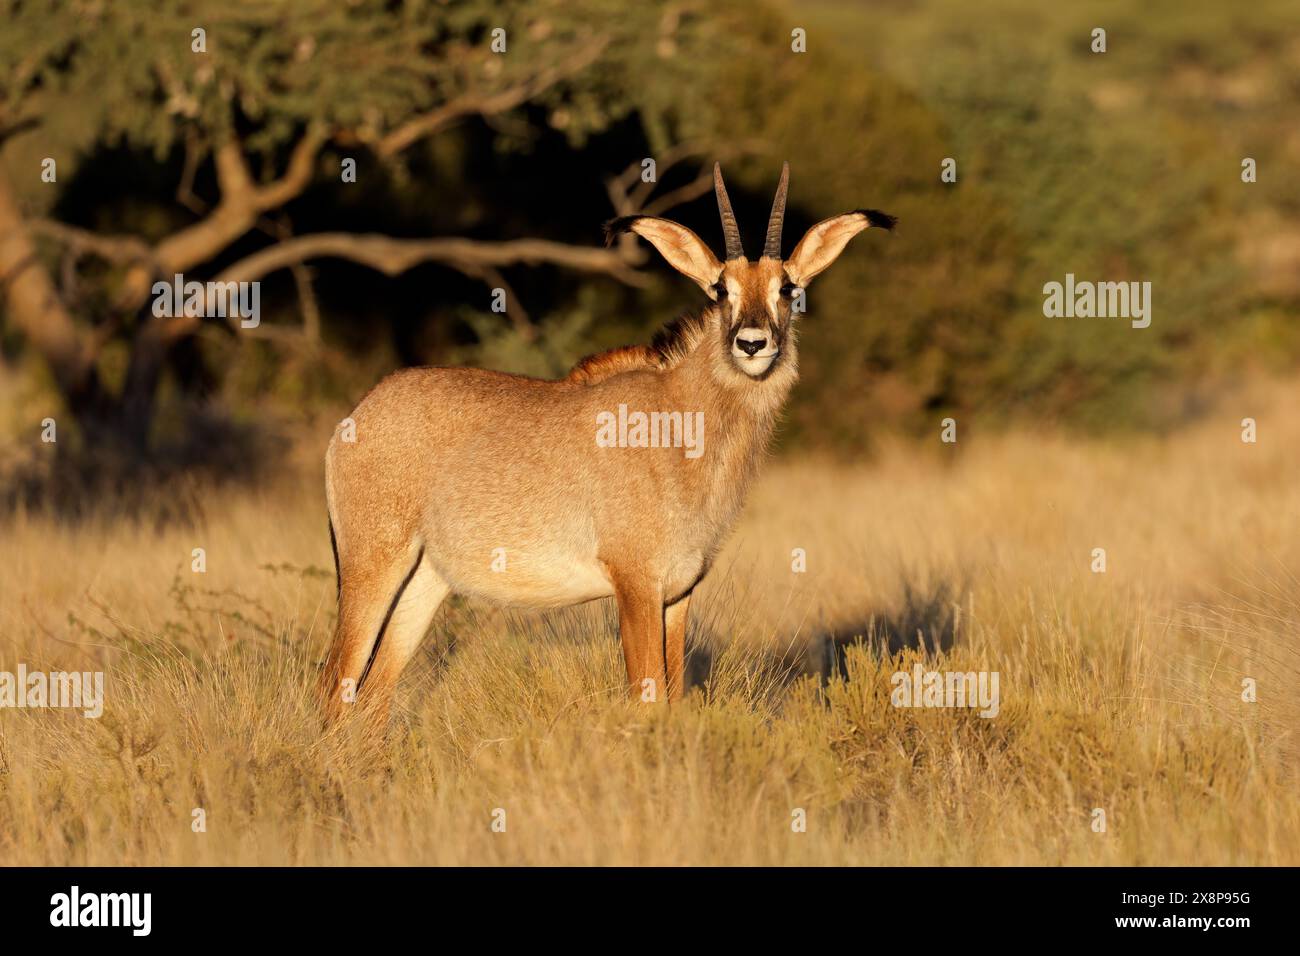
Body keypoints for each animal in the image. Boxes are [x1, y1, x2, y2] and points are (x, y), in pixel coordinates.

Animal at [319, 163, 895, 722]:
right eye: (720, 289)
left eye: (787, 288)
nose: (752, 344)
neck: (678, 421)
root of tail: (356, 417)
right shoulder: (635, 583)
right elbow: (649, 697)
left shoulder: (678, 594)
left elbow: (675, 697)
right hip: (374, 565)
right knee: (335, 682)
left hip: (424, 583)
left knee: (372, 695)